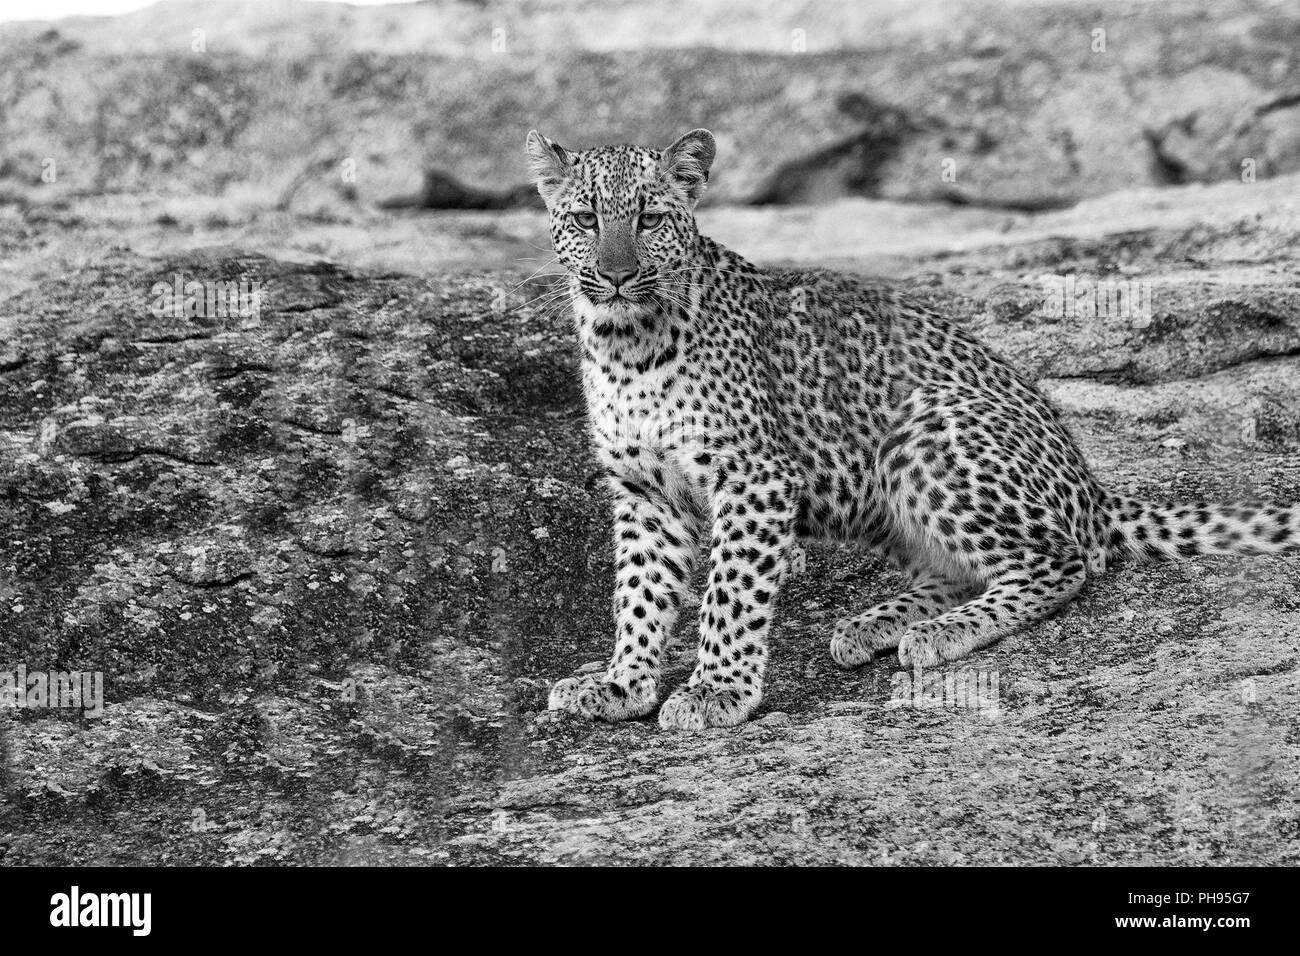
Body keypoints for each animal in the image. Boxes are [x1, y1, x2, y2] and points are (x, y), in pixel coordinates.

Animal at [527, 126, 1300, 731]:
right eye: (586, 218)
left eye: (651, 219)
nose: (615, 275)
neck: (625, 344)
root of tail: (1091, 486)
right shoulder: (643, 490)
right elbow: (639, 594)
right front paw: (622, 684)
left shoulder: (755, 477)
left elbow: (731, 593)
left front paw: (717, 691)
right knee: (967, 569)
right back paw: (874, 623)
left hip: (926, 434)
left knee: (1063, 562)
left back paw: (936, 633)